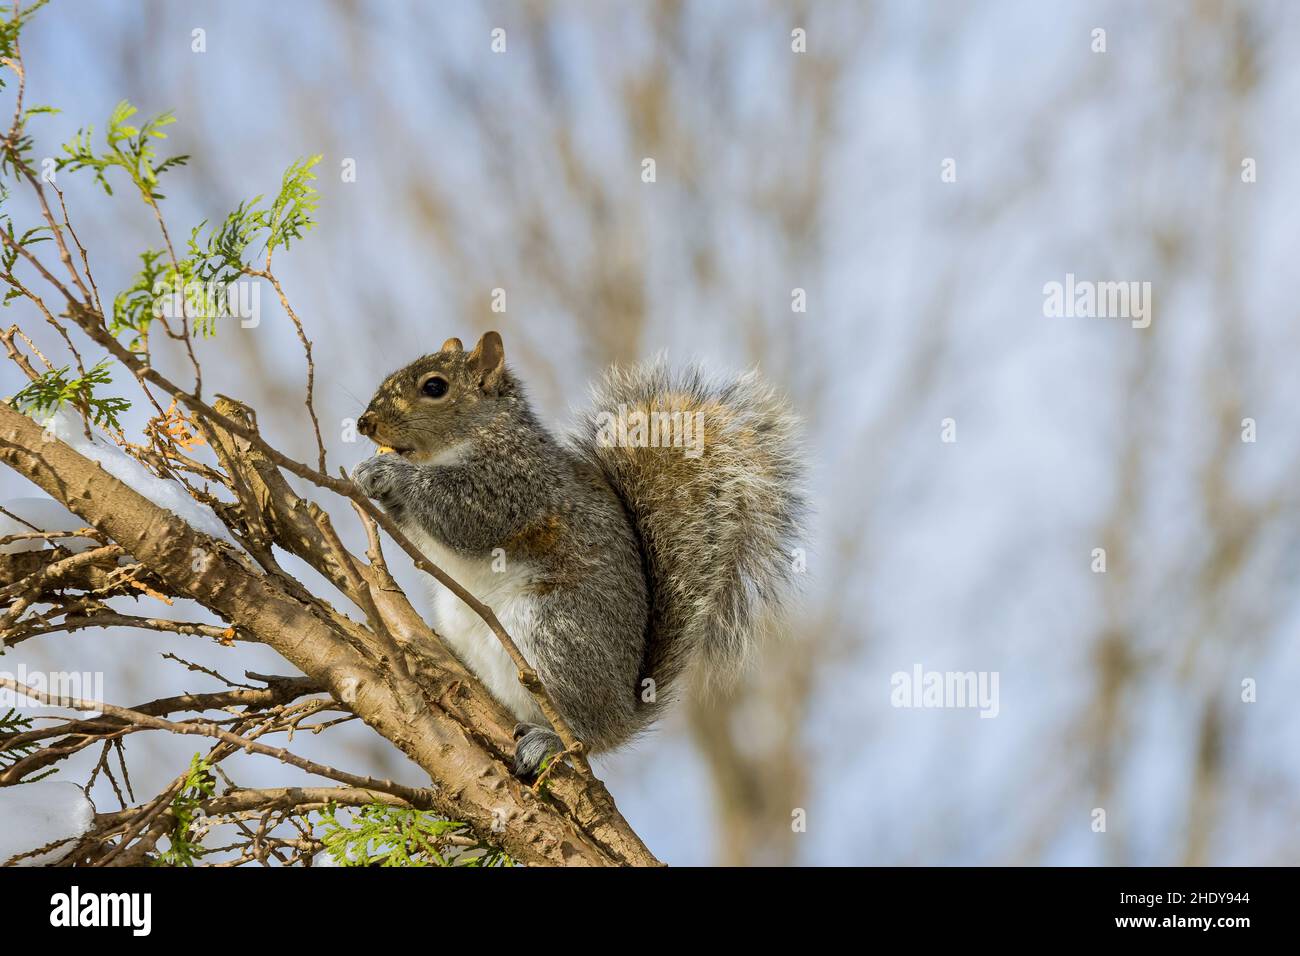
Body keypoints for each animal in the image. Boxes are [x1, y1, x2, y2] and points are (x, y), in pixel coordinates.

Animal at [352, 331, 805, 776]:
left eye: (435, 387)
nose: (364, 423)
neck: (477, 435)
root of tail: (624, 712)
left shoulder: (516, 485)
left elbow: (463, 515)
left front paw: (390, 474)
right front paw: (365, 477)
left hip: (554, 630)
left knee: (584, 731)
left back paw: (552, 739)